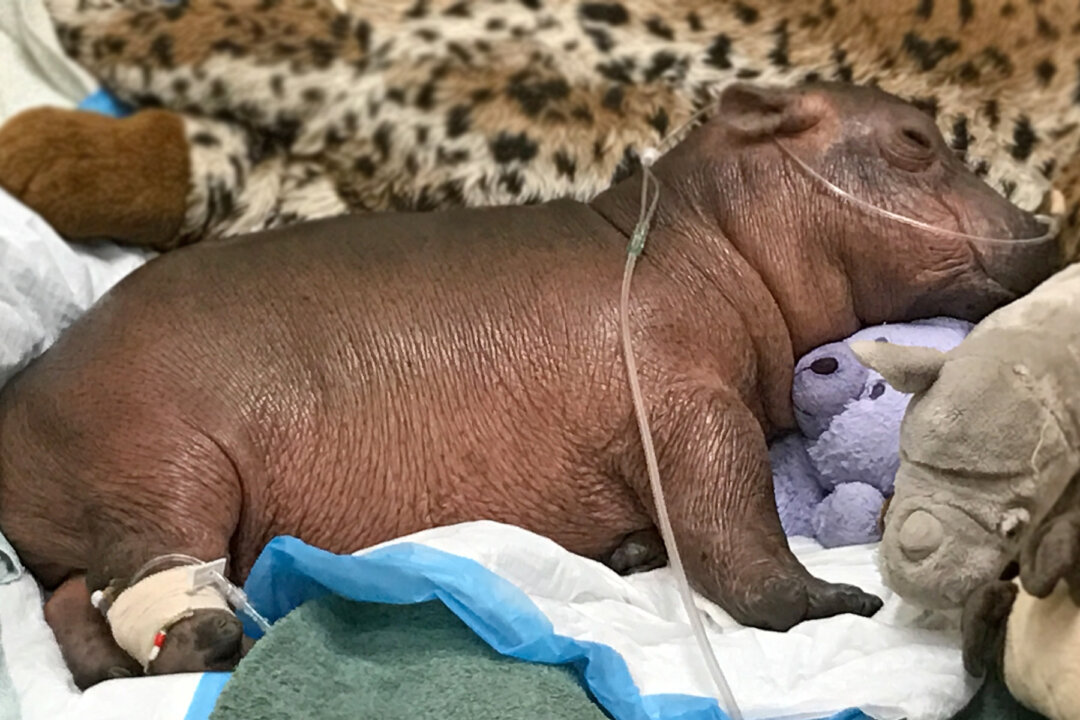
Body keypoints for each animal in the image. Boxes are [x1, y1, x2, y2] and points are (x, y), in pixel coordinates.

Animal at [0, 82, 1058, 689]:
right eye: (917, 138)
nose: (1048, 228)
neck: (700, 234)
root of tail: (22, 391)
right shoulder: (686, 405)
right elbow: (734, 517)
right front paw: (836, 603)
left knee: (73, 607)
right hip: (162, 467)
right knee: (156, 586)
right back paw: (219, 643)